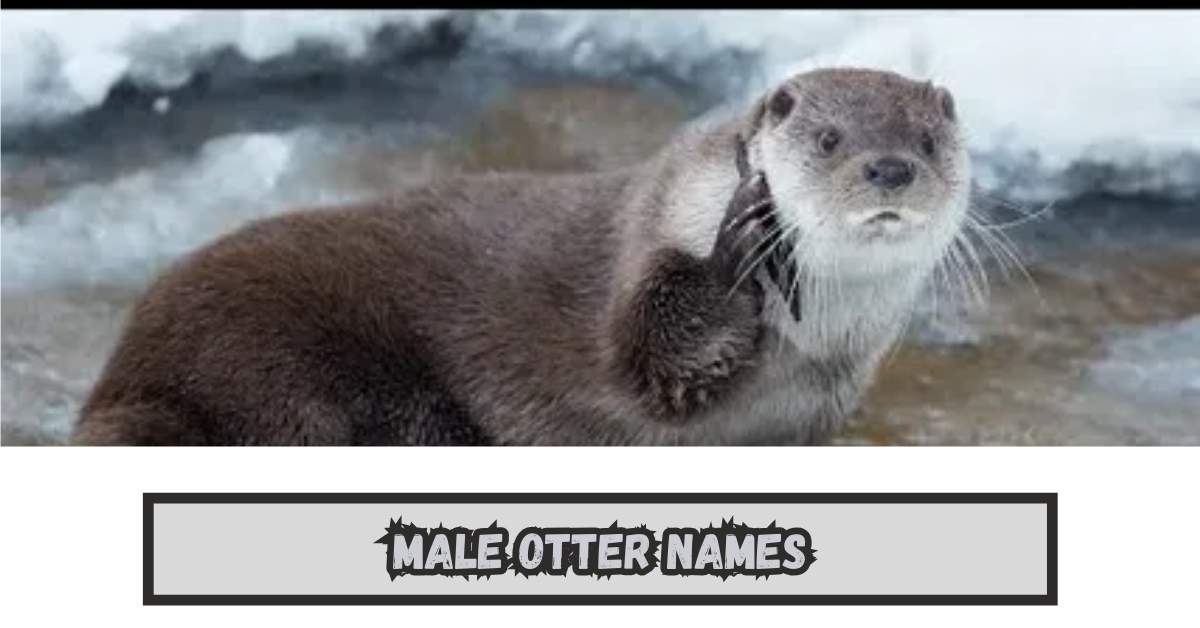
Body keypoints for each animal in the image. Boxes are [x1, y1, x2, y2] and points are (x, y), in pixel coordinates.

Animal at [74, 68, 970, 446]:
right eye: (829, 139)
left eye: (927, 142)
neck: (806, 352)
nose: (891, 168)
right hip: (275, 364)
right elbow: (650, 352)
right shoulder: (642, 256)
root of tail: (129, 374)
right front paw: (737, 250)